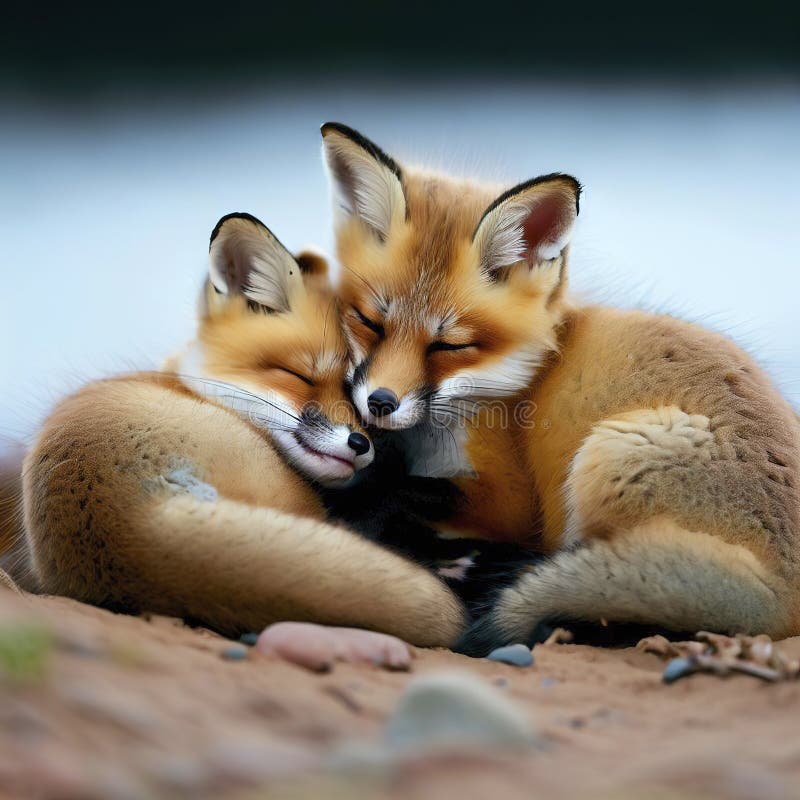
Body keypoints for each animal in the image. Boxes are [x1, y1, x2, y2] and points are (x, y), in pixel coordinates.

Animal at [320, 122, 800, 653]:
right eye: (369, 322)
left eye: (449, 345)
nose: (380, 403)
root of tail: (780, 591)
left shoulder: (507, 499)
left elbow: (410, 489)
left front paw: (362, 510)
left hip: (610, 454)